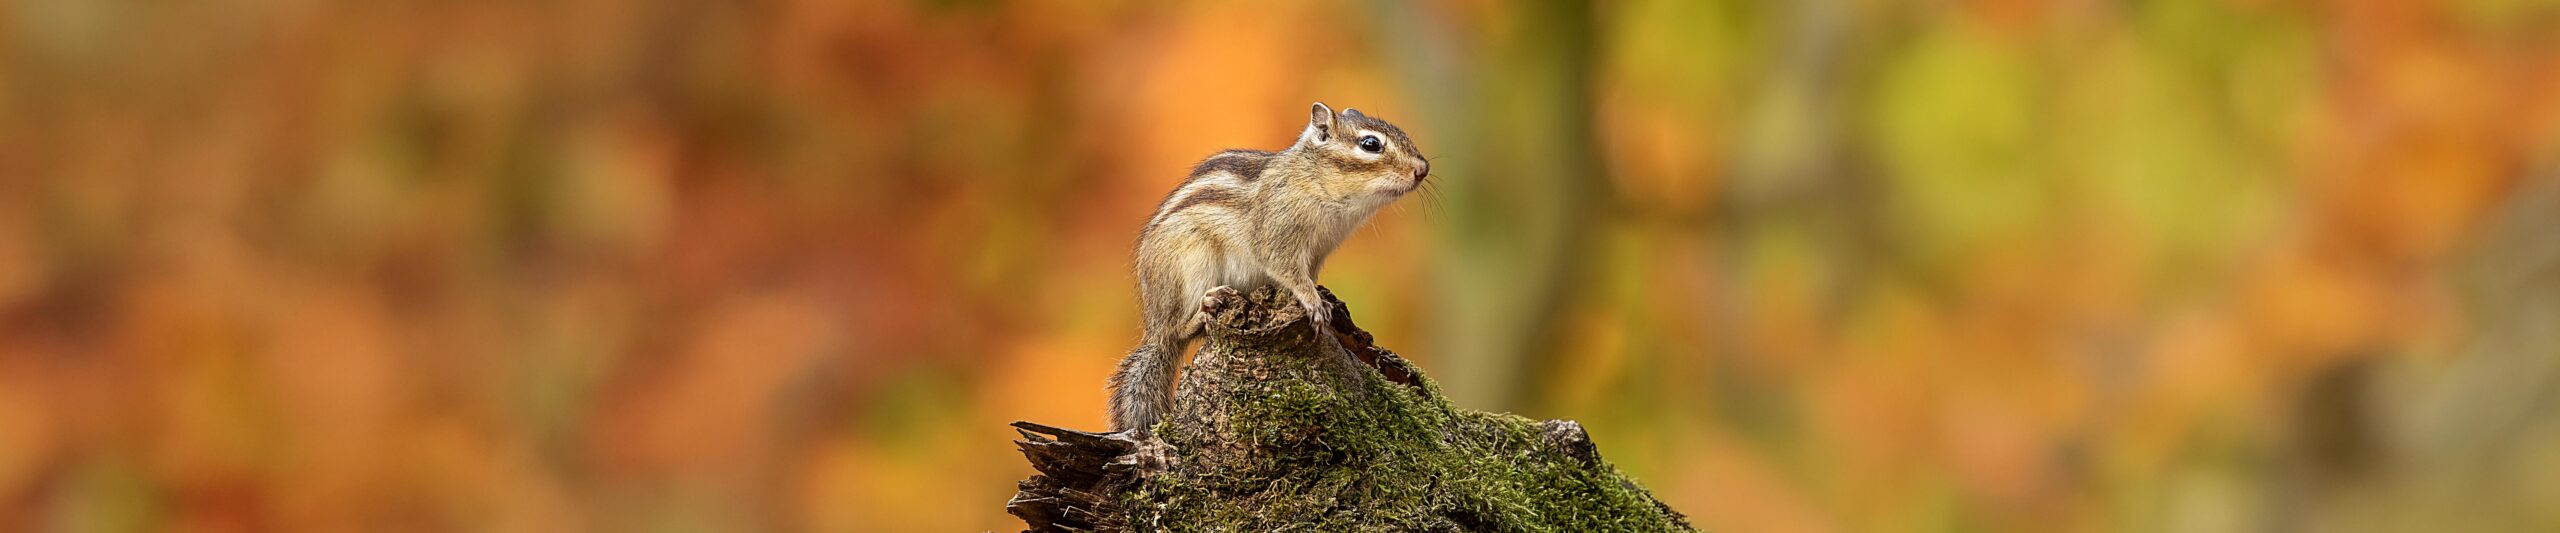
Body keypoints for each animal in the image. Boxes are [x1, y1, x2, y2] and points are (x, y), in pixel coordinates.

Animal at [1108, 102, 1432, 434]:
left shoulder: (1318, 253)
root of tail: (1153, 327)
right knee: (1176, 330)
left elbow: (1307, 276)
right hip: (1189, 268)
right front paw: (1313, 302)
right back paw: (1203, 308)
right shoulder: (1279, 236)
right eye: (1370, 144)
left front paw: (1323, 297)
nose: (1423, 169)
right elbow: (1287, 270)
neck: (1313, 181)